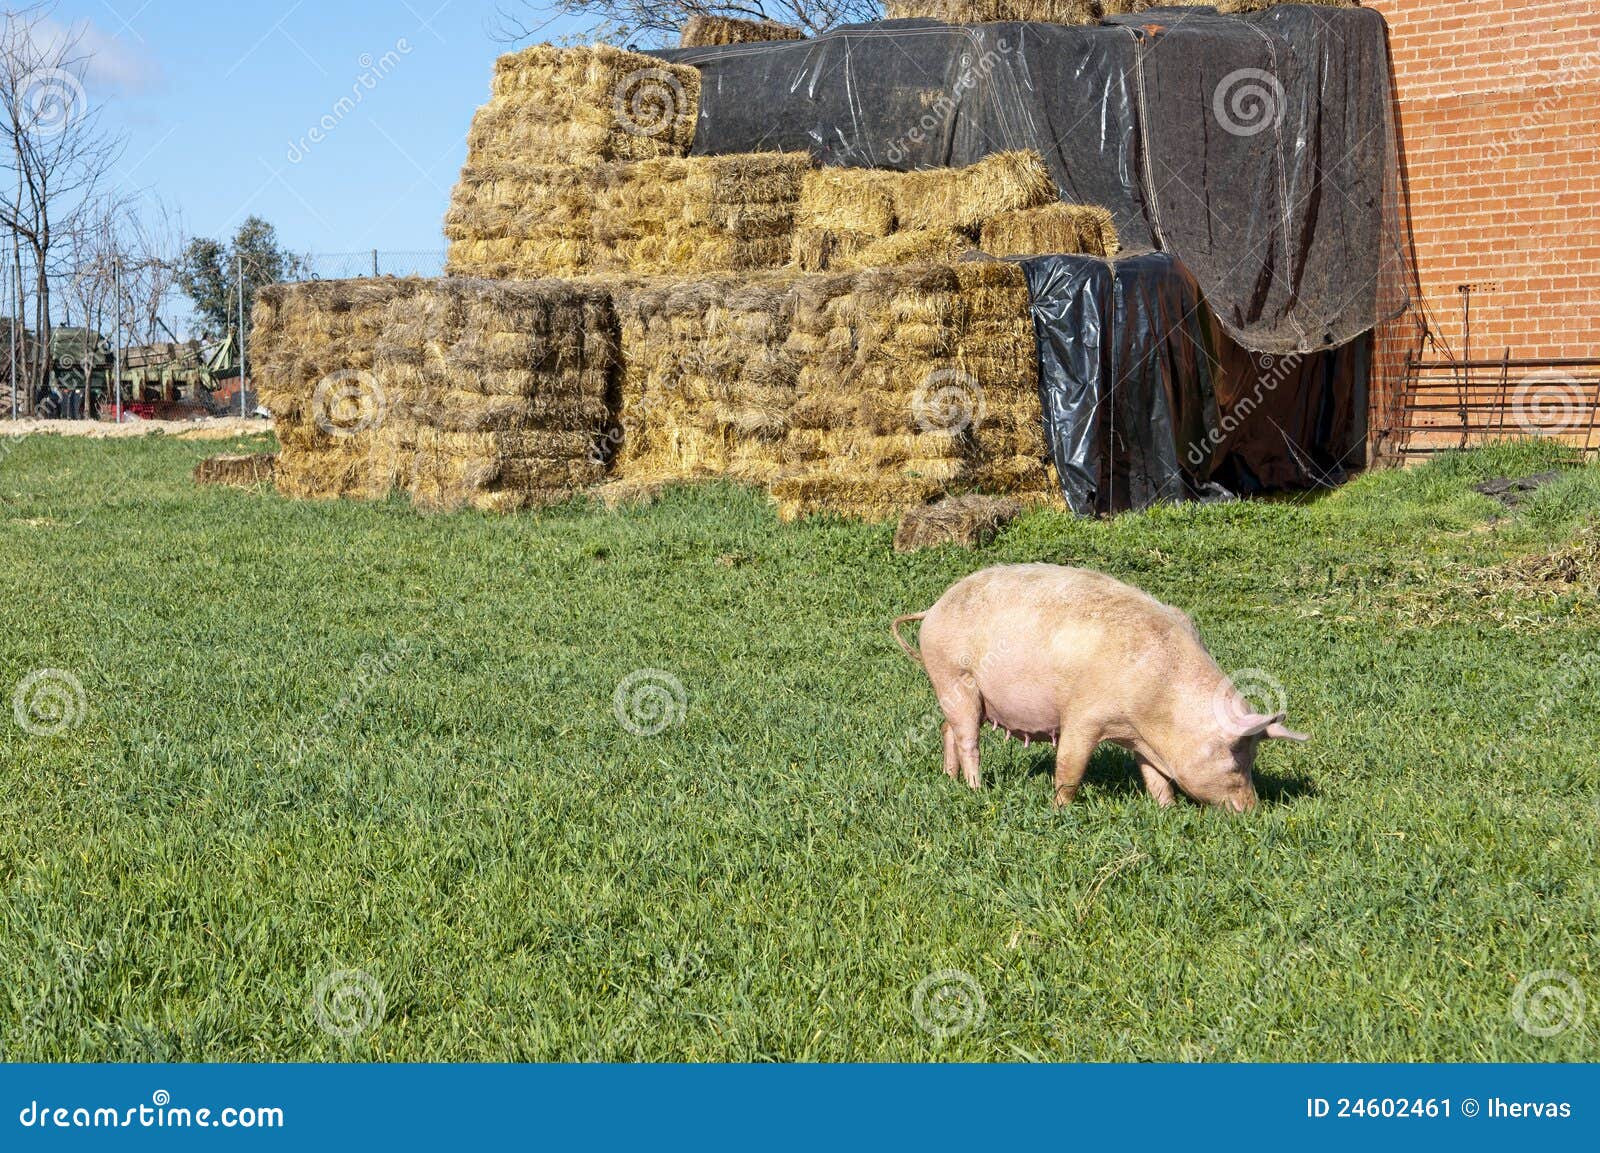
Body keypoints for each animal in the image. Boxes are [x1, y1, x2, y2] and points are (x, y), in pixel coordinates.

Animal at [891, 563, 1306, 811]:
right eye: (1236, 761)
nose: (1252, 811)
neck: (1161, 710)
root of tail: (932, 609)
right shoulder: (1083, 715)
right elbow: (1069, 766)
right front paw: (1060, 810)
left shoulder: (1141, 738)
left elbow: (1154, 777)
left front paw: (1167, 811)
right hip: (953, 675)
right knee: (968, 740)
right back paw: (977, 789)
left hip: (956, 692)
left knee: (947, 729)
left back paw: (950, 778)